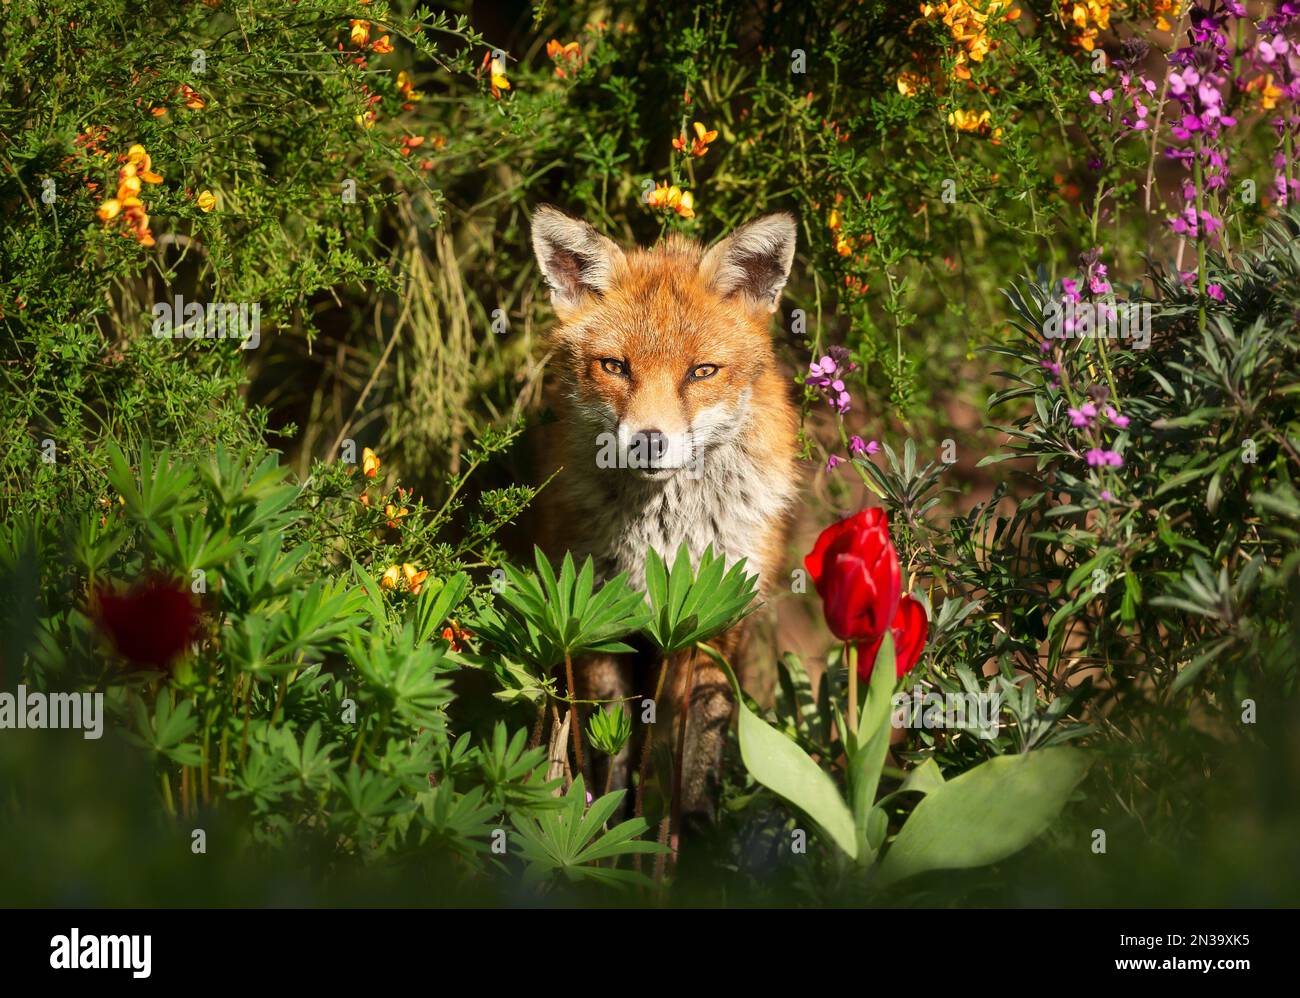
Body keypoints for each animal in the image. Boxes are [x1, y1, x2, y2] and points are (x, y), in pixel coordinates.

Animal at [530, 205, 800, 825]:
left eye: (701, 372)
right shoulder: (594, 616)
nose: (648, 443)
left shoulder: (718, 617)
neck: (667, 535)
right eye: (614, 366)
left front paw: (694, 830)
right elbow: (609, 749)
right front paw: (605, 826)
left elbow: (701, 741)